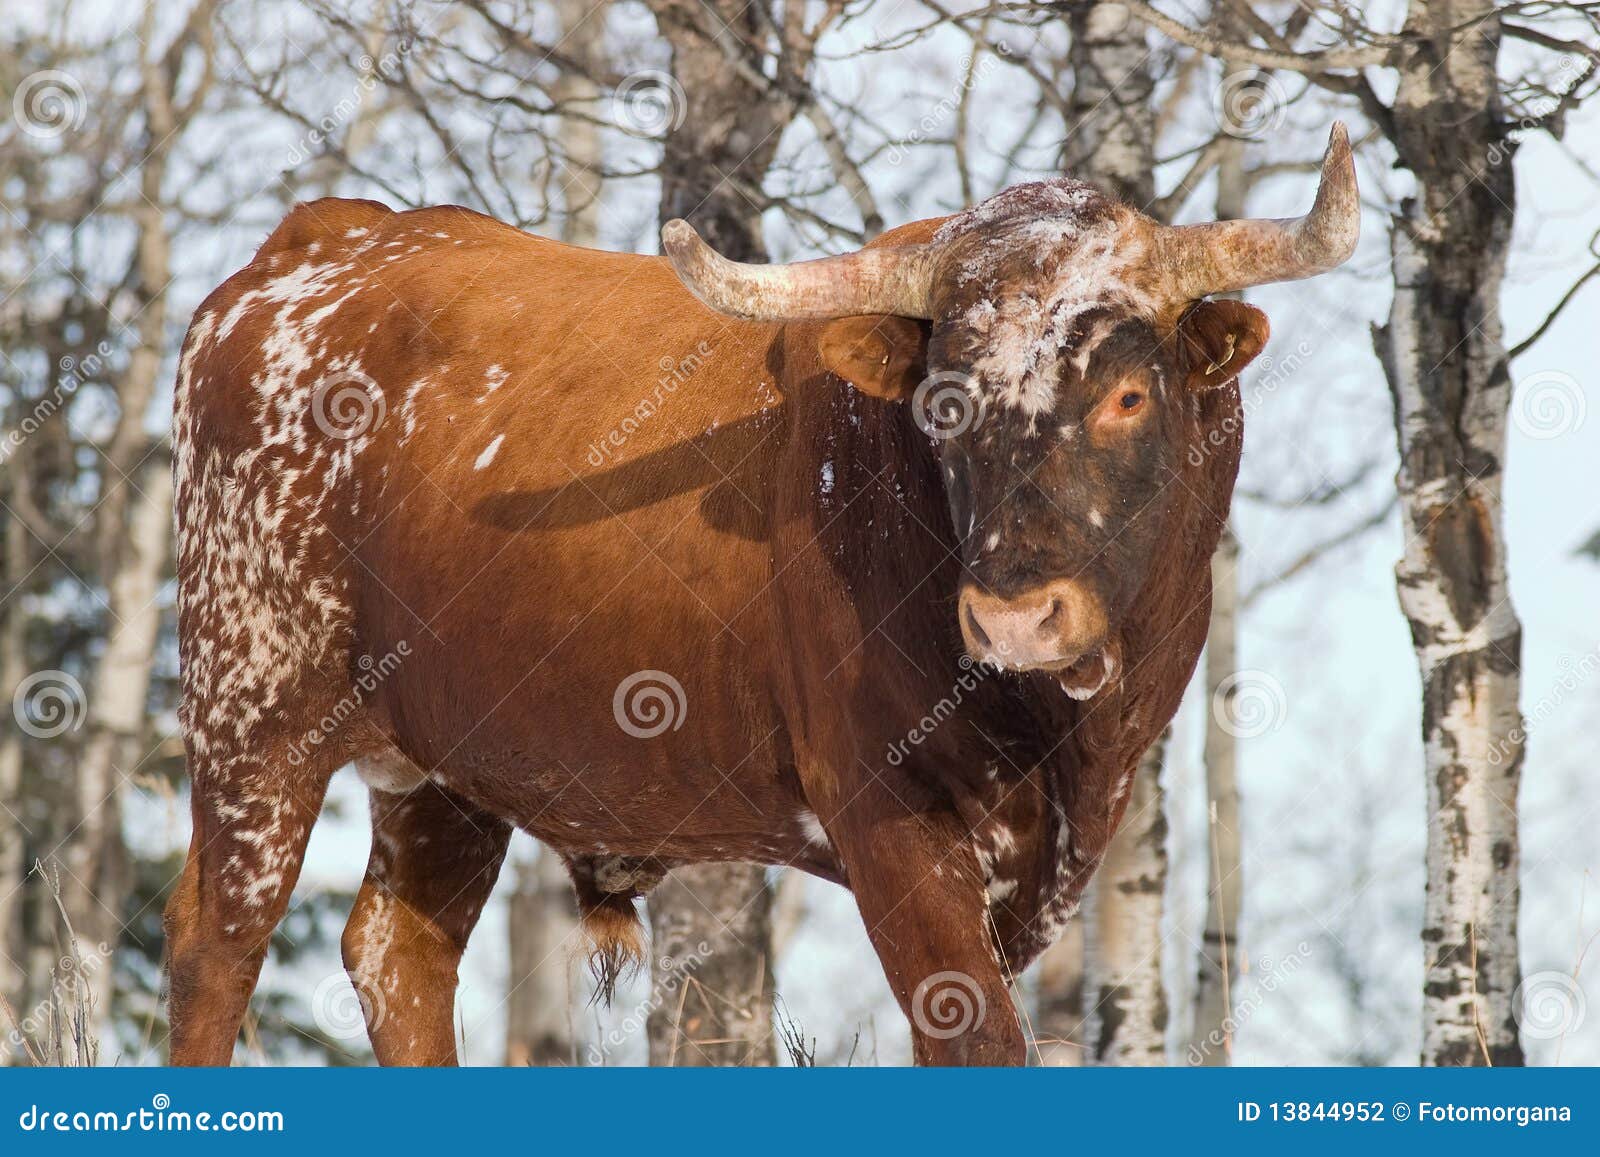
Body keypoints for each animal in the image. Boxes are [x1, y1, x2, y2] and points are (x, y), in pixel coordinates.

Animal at [164, 124, 1358, 1066]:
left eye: (1125, 394)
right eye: (944, 399)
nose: (1015, 616)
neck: (1065, 736)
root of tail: (318, 245)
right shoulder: (889, 810)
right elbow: (972, 1033)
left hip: (445, 772)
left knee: (399, 955)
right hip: (251, 712)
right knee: (214, 944)